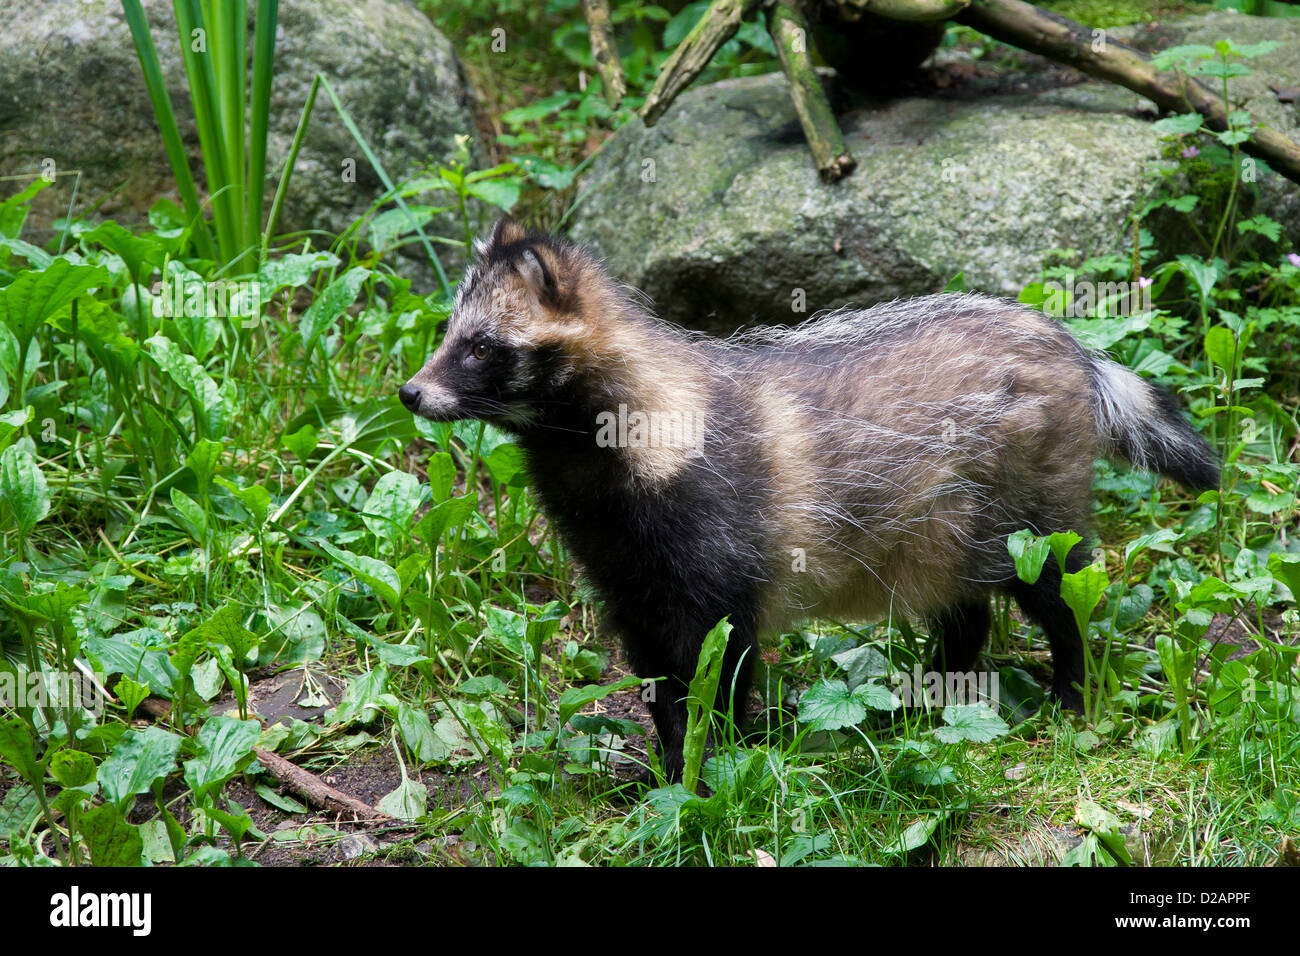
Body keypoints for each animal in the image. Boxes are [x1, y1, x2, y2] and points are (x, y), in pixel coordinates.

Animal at [400, 219, 1219, 780]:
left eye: (482, 346)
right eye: (447, 331)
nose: (410, 391)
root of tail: (1066, 342)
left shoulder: (716, 547)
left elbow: (720, 667)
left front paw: (718, 760)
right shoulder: (625, 572)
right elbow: (659, 678)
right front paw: (670, 761)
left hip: (1028, 505)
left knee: (1060, 591)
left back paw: (1072, 690)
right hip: (944, 523)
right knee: (965, 612)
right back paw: (934, 697)